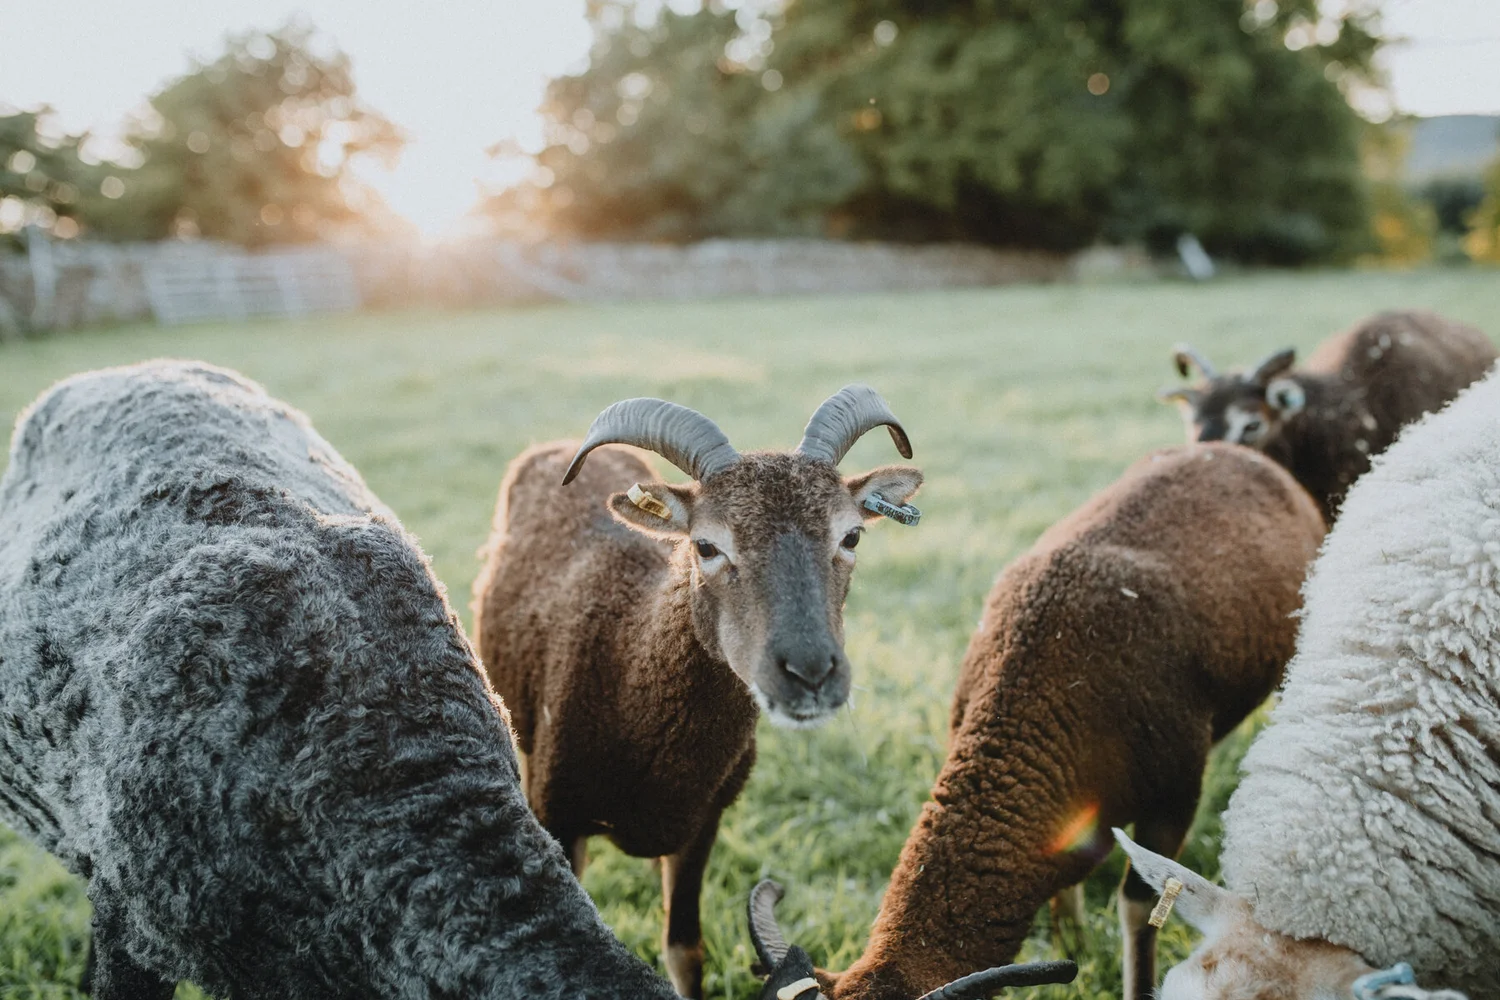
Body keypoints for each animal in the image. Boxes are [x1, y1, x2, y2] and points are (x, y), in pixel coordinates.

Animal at [471, 387, 924, 998]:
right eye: (706, 546)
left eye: (851, 535)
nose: (809, 673)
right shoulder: (560, 817)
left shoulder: (703, 822)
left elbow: (685, 951)